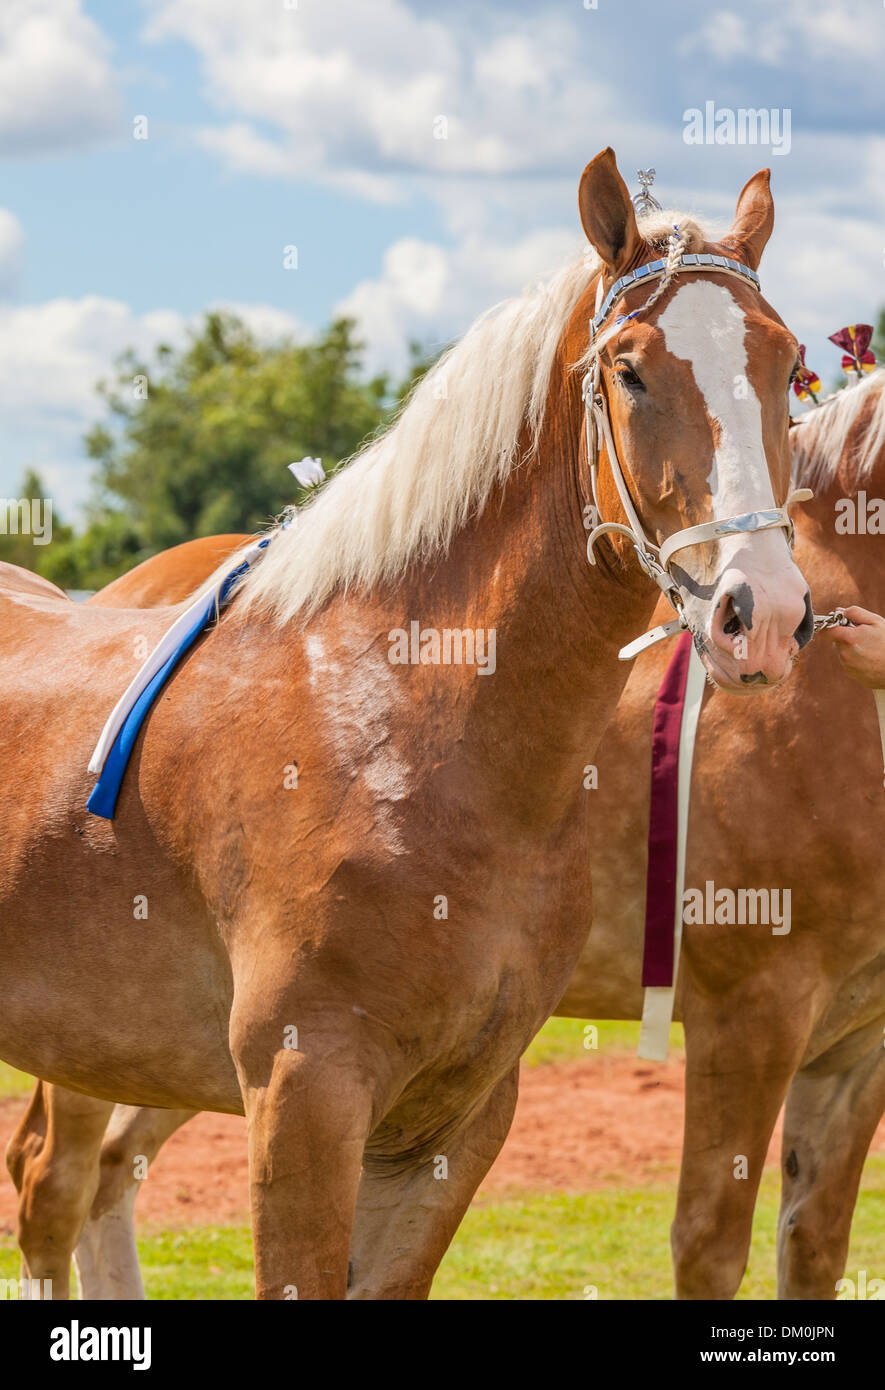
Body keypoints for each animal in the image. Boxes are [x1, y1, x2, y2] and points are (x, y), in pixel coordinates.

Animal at [0, 148, 811, 1299]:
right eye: (631, 370)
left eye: (787, 365)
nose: (763, 612)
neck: (401, 725)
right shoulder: (305, 1097)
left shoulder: (454, 1120)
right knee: (52, 1187)